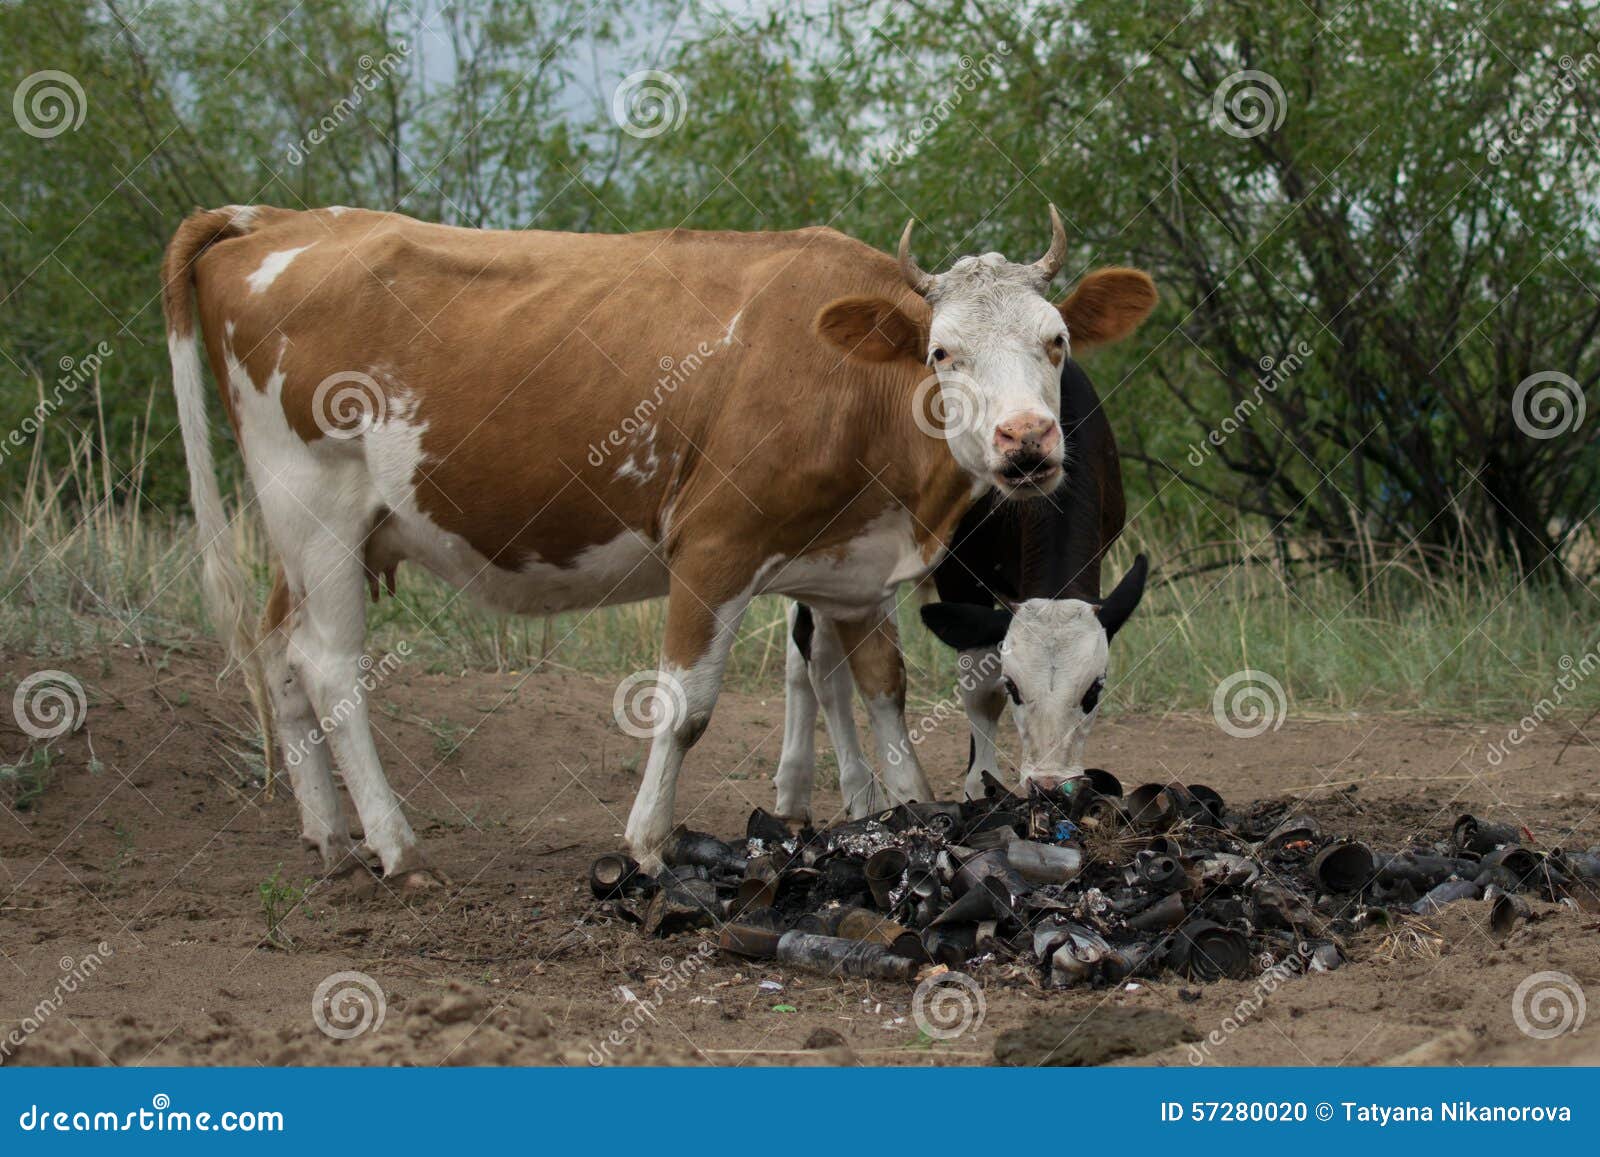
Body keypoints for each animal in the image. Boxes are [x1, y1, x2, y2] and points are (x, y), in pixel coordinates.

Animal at [774, 358, 1146, 820]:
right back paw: (858, 793)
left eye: (1094, 691)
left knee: (801, 652)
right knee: (823, 662)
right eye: (1014, 688)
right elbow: (981, 689)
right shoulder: (960, 572)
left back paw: (793, 788)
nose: (1049, 786)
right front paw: (978, 786)